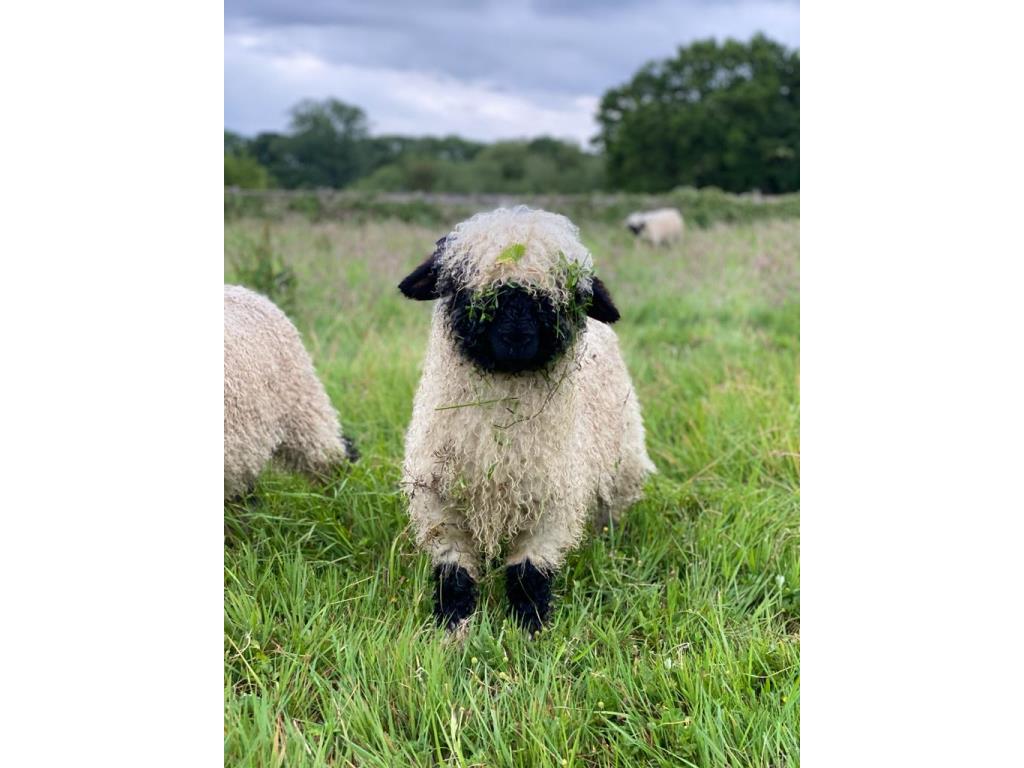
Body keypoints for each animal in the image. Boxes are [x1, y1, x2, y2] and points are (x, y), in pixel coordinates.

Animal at [398, 207, 655, 633]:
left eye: (560, 296)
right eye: (468, 288)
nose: (517, 338)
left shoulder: (551, 505)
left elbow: (529, 573)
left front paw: (529, 627)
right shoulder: (439, 503)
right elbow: (454, 575)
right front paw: (454, 626)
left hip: (622, 465)